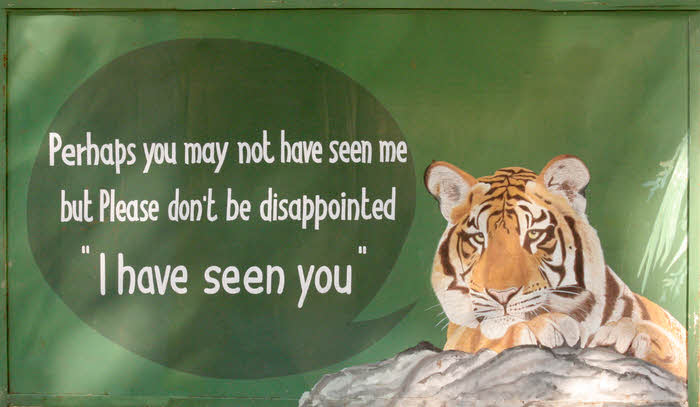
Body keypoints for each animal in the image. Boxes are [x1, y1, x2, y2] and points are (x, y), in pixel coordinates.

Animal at [424, 155, 687, 379]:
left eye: (534, 234)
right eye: (479, 238)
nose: (502, 295)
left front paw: (629, 334)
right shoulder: (458, 335)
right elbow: (484, 334)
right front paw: (541, 327)